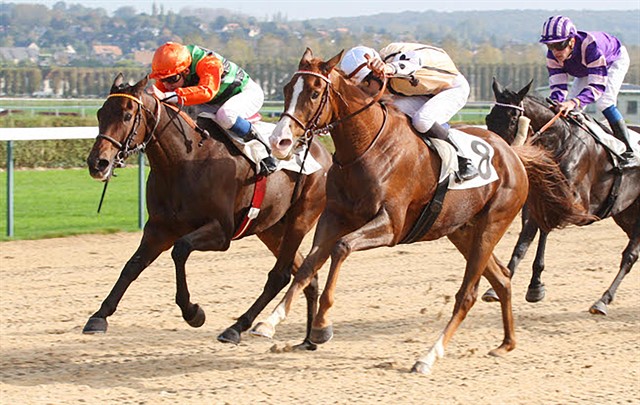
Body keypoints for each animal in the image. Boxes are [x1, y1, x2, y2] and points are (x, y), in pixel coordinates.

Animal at [84, 73, 332, 346]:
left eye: (127, 116)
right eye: (100, 113)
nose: (98, 163)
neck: (185, 161)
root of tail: (324, 151)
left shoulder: (222, 232)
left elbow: (180, 250)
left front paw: (193, 311)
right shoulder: (159, 228)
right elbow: (132, 265)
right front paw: (98, 316)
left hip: (301, 219)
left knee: (280, 275)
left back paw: (236, 328)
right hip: (271, 229)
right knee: (305, 275)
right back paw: (308, 340)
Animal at [248, 48, 586, 374]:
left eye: (315, 92)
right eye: (287, 88)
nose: (279, 141)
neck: (366, 146)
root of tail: (513, 154)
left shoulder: (391, 226)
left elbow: (341, 248)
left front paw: (320, 326)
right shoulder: (334, 217)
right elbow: (308, 265)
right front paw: (269, 322)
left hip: (492, 225)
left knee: (468, 294)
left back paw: (428, 357)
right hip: (462, 231)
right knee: (501, 278)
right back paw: (506, 343)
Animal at [483, 78, 640, 315]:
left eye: (512, 119)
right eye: (488, 118)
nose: (497, 158)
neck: (560, 142)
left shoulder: (576, 204)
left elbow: (545, 228)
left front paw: (535, 286)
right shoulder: (535, 202)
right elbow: (524, 241)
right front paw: (498, 286)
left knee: (629, 255)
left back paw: (602, 301)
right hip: (626, 215)